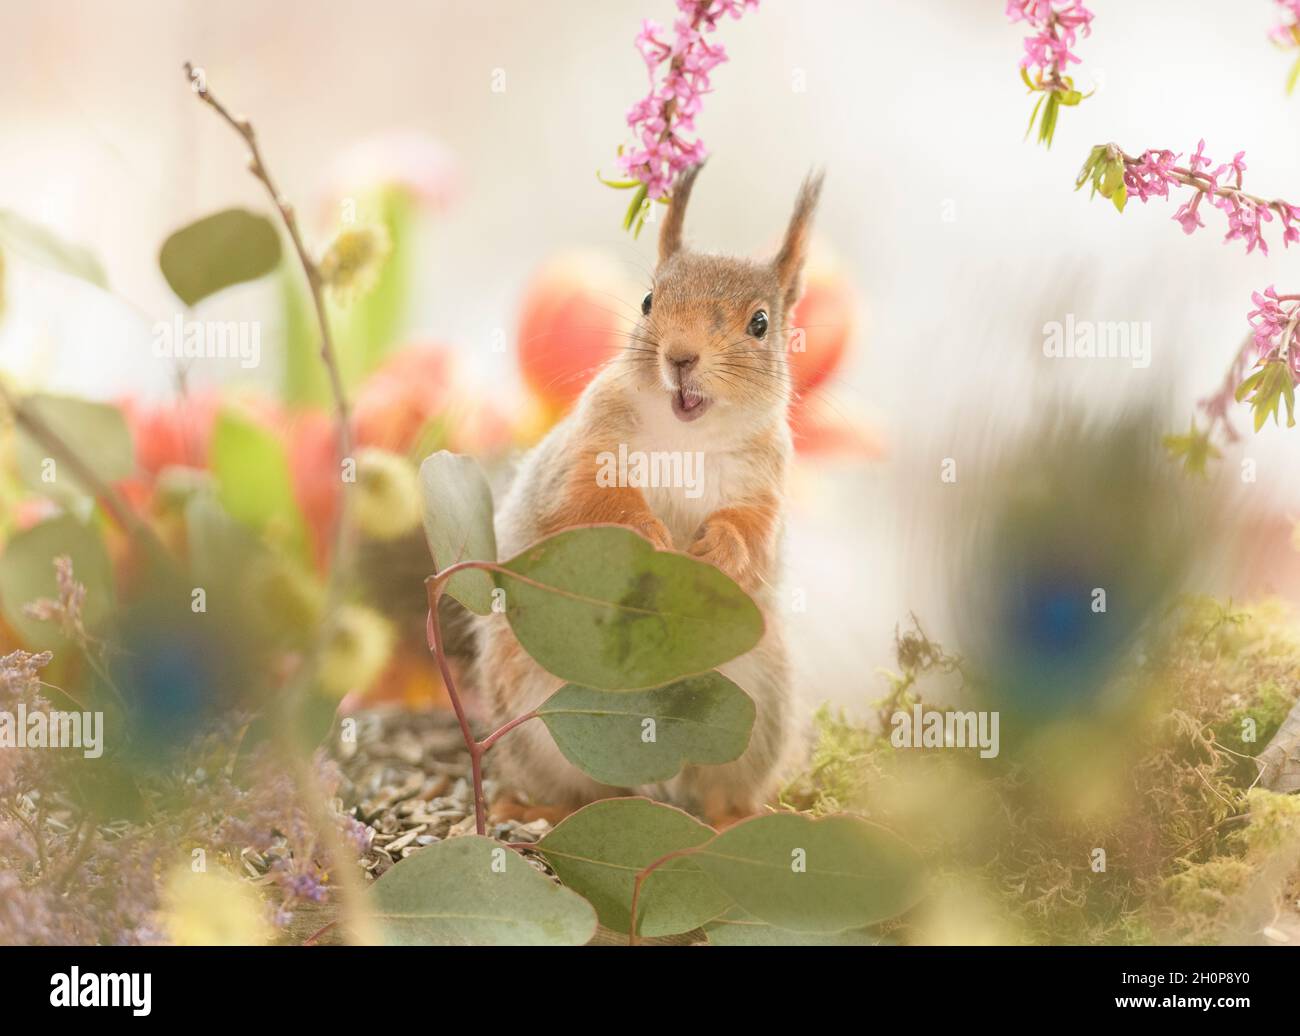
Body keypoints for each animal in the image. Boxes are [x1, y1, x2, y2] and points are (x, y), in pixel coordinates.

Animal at [476, 165, 823, 826]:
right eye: (647, 301)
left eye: (760, 323)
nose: (680, 357)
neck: (686, 433)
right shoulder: (585, 457)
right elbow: (589, 506)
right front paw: (651, 538)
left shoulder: (765, 485)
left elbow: (755, 537)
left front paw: (720, 551)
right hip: (536, 713)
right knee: (587, 789)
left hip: (760, 702)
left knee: (719, 790)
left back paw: (734, 818)